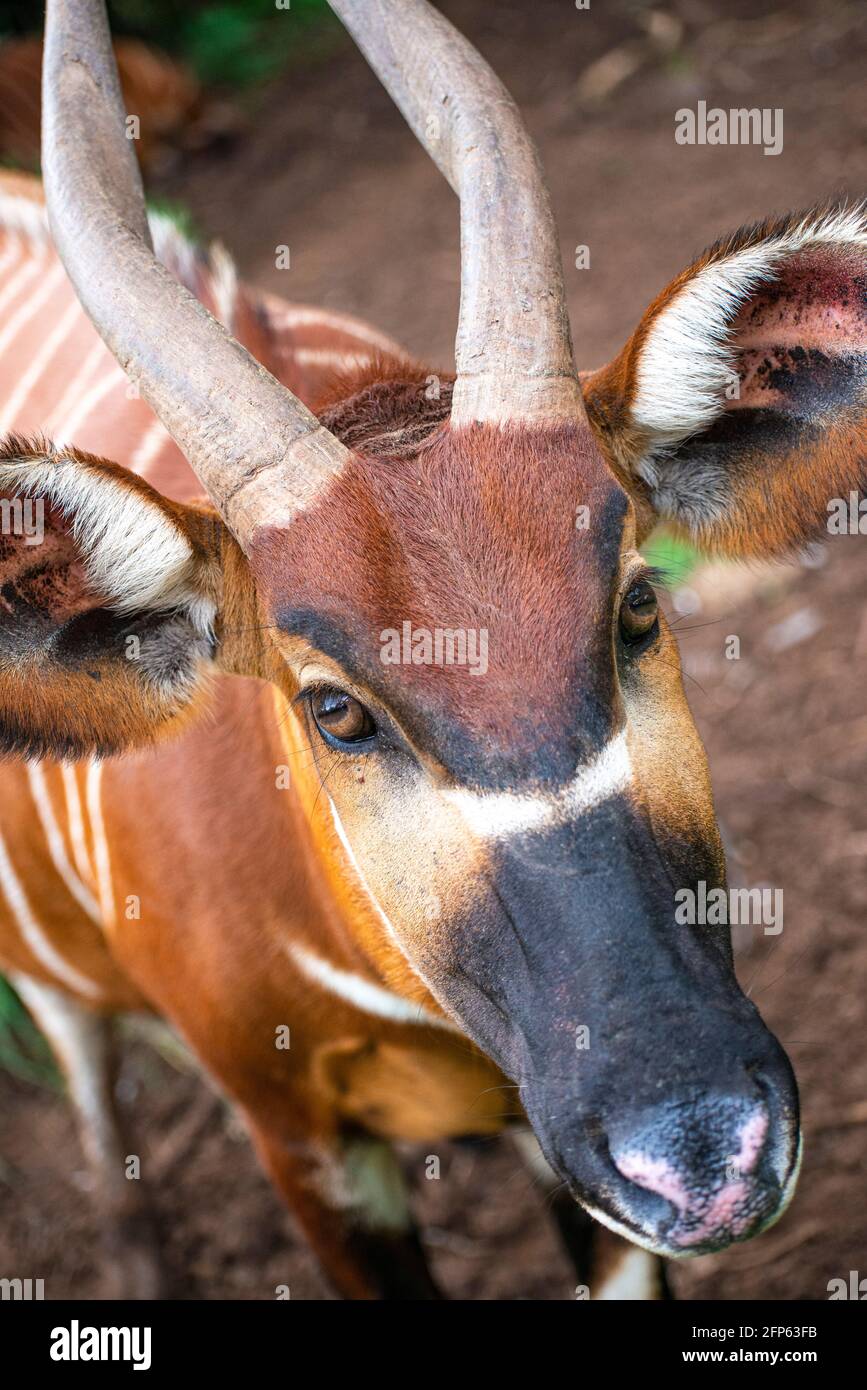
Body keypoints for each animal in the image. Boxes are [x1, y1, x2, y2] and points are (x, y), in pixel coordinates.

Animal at [0, 0, 864, 1301]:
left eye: (637, 604)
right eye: (334, 707)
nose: (702, 1147)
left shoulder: (563, 1151)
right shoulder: (302, 1141)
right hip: (52, 987)